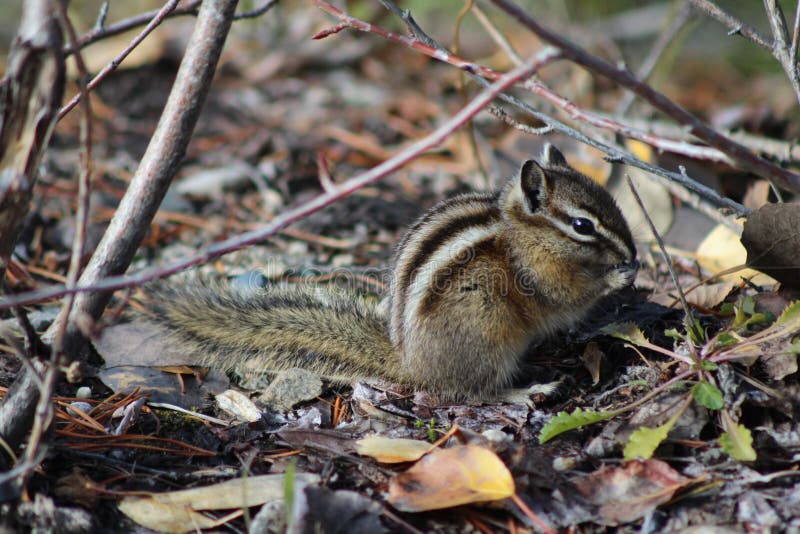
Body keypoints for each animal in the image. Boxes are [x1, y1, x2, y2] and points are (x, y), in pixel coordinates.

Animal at [147, 144, 638, 400]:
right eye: (582, 225)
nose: (633, 252)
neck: (521, 229)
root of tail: (410, 364)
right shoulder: (537, 276)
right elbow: (567, 299)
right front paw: (617, 277)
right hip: (487, 331)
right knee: (478, 392)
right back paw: (528, 389)